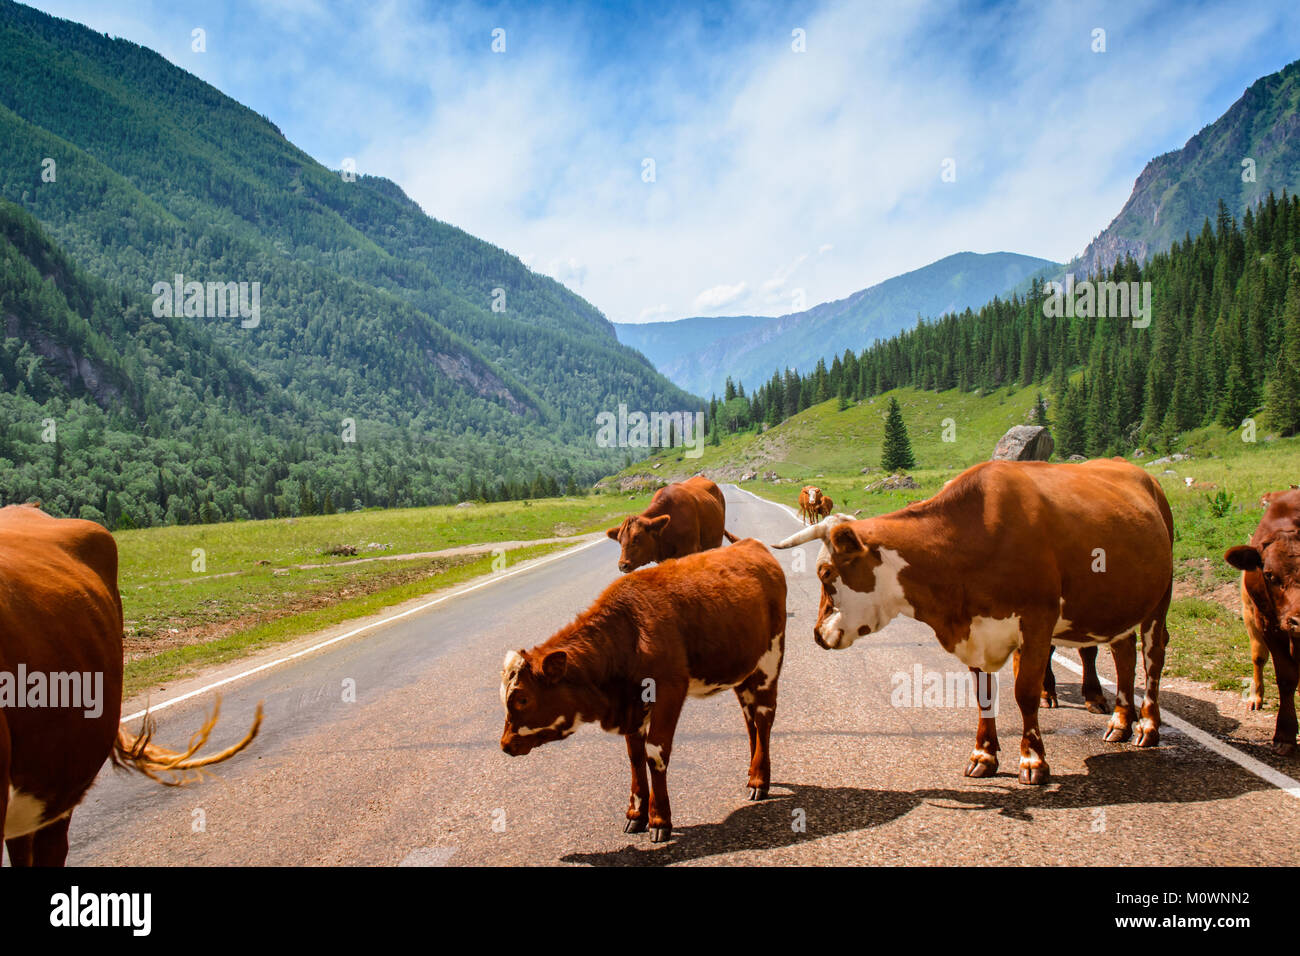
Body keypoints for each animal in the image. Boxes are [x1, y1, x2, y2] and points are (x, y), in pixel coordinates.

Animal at [499, 538, 786, 843]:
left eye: (523, 698)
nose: (505, 744)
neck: (630, 632)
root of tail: (749, 544)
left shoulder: (669, 690)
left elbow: (654, 752)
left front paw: (660, 819)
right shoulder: (633, 707)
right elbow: (635, 756)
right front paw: (636, 814)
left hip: (770, 658)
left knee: (763, 717)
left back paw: (759, 779)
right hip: (743, 670)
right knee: (750, 719)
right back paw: (752, 772)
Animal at [774, 458, 1173, 785]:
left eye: (825, 573)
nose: (817, 634)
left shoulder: (1036, 625)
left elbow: (1024, 694)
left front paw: (1033, 760)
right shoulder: (977, 633)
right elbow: (983, 695)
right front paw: (984, 755)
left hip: (1160, 601)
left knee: (1152, 657)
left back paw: (1148, 726)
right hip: (1120, 605)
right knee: (1124, 654)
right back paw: (1120, 722)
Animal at [1225, 488, 1300, 753]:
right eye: (1269, 574)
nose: (1298, 620)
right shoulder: (1269, 626)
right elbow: (1286, 678)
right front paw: (1285, 735)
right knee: (1258, 657)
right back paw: (1255, 696)